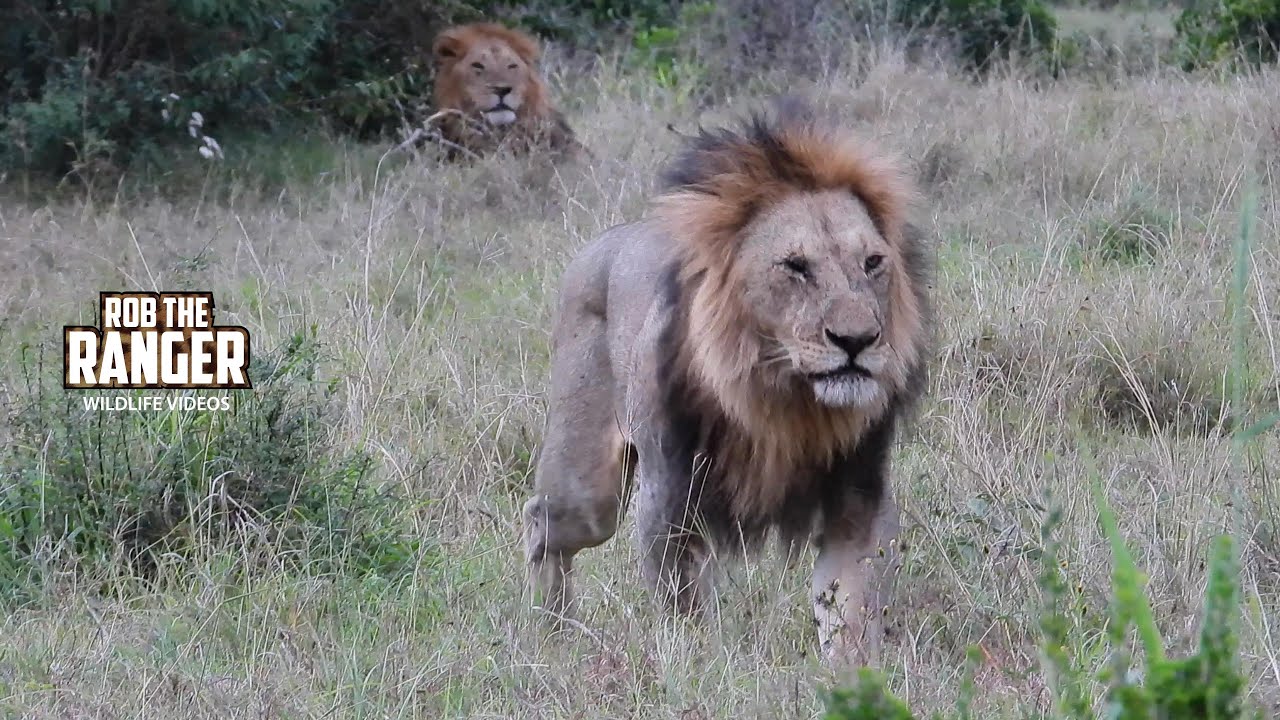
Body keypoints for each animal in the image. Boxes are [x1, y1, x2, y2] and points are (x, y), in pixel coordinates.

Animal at [520, 98, 933, 666]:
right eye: (795, 266)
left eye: (872, 263)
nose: (858, 339)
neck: (783, 400)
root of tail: (606, 239)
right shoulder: (669, 502)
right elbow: (685, 610)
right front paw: (699, 668)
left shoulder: (857, 498)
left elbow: (849, 609)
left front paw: (856, 674)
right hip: (586, 490)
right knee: (542, 520)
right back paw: (551, 629)